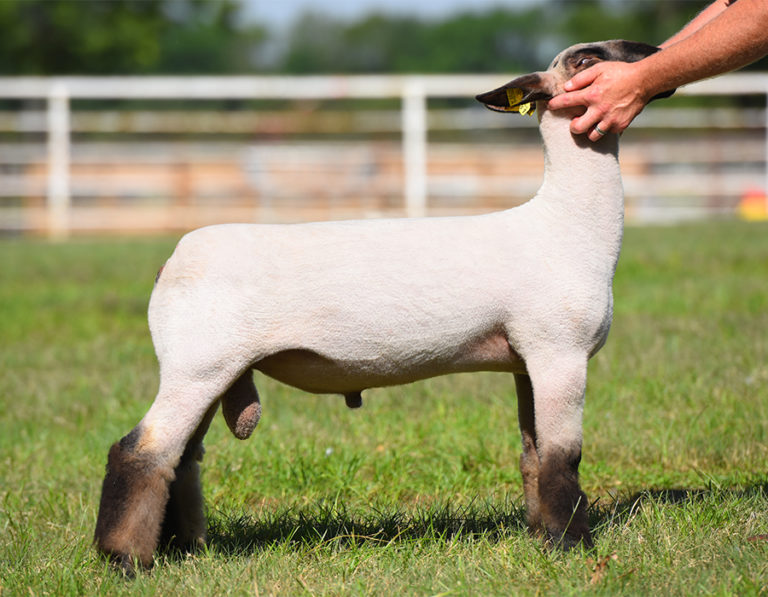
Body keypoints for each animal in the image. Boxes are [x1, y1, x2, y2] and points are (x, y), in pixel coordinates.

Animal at [94, 40, 674, 574]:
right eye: (586, 59)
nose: (654, 54)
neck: (566, 225)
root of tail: (170, 261)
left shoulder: (527, 361)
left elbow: (533, 456)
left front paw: (542, 537)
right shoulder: (559, 351)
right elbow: (562, 458)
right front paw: (573, 548)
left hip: (211, 371)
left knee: (181, 460)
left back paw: (182, 549)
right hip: (198, 366)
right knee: (141, 452)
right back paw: (124, 560)